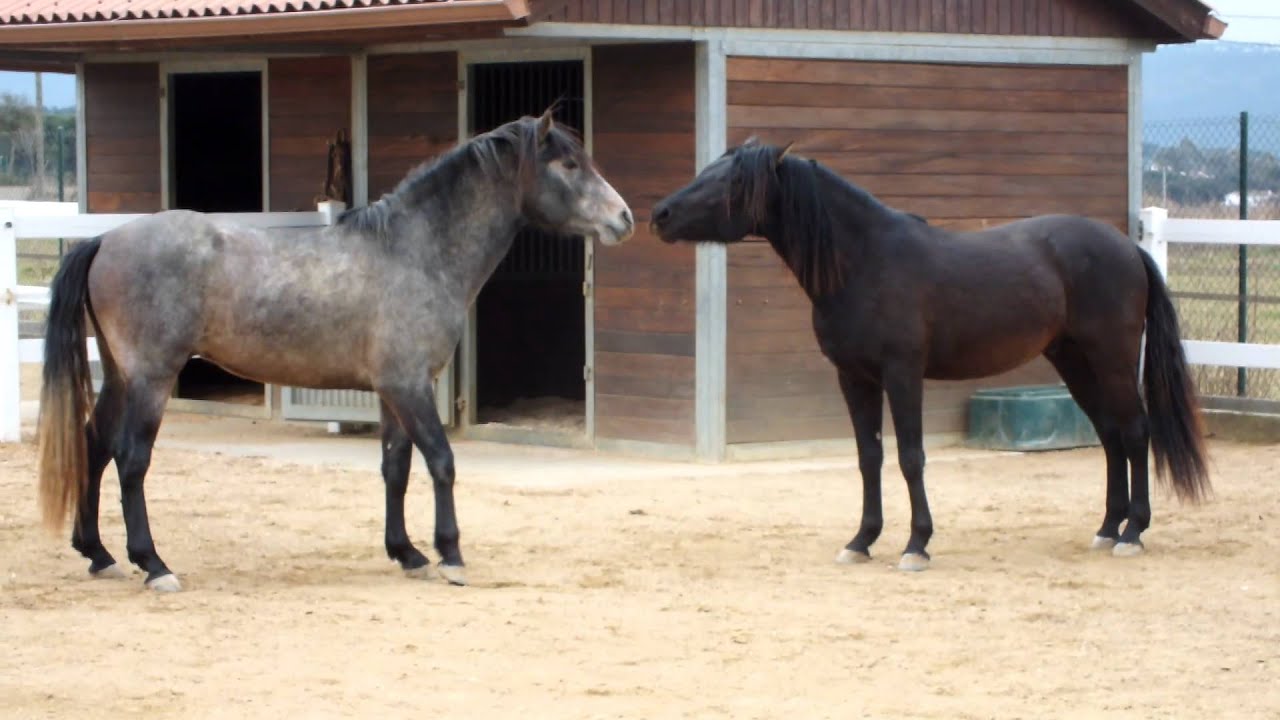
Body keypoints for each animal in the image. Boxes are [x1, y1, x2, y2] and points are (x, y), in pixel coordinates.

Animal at [38, 110, 634, 592]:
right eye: (569, 164)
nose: (624, 218)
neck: (415, 251)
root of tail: (105, 239)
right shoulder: (409, 385)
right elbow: (441, 461)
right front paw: (450, 555)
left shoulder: (393, 391)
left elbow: (396, 467)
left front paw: (408, 553)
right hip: (152, 378)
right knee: (131, 459)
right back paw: (154, 565)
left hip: (121, 375)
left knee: (93, 444)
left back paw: (99, 554)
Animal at [650, 138, 1209, 572]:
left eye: (730, 183)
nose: (660, 215)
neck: (864, 261)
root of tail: (1128, 247)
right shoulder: (853, 378)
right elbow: (869, 457)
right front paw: (861, 541)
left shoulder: (902, 374)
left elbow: (910, 457)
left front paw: (916, 544)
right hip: (1073, 361)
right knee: (1112, 435)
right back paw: (1107, 528)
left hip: (1110, 358)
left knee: (1135, 432)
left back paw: (1133, 533)